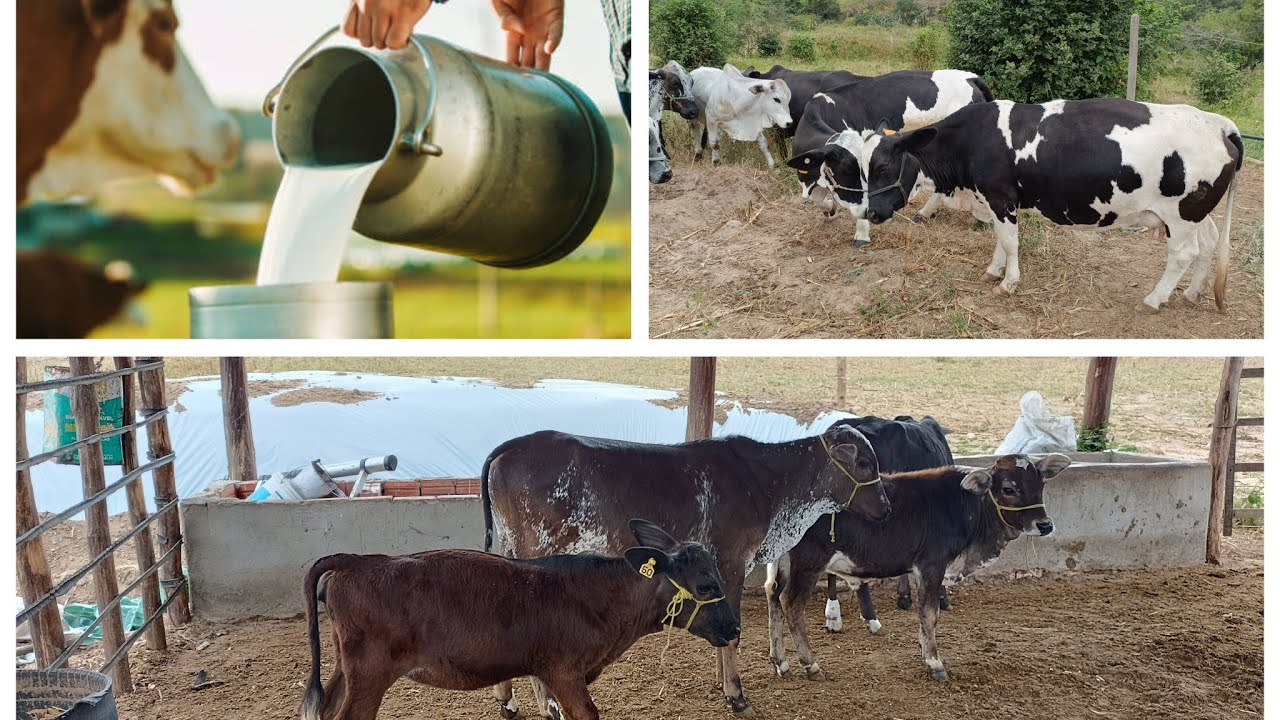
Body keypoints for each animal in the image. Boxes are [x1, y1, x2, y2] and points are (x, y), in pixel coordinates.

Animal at [300, 520, 741, 720]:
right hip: (370, 671)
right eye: (705, 585)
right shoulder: (563, 670)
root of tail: (358, 561)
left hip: (346, 666)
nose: (734, 627)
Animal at [482, 425, 890, 716]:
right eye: (865, 464)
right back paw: (548, 707)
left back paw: (509, 702)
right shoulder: (731, 561)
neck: (770, 486)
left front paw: (723, 683)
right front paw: (737, 696)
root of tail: (509, 448)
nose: (887, 509)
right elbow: (736, 633)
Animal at [766, 453, 1069, 682]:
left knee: (773, 595)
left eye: (1040, 485)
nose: (1045, 525)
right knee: (790, 603)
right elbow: (929, 614)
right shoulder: (932, 566)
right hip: (808, 562)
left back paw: (780, 662)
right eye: (1009, 489)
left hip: (782, 561)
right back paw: (811, 664)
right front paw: (934, 663)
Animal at [785, 70, 993, 247]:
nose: (869, 212)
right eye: (847, 167)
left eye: (867, 170)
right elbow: (817, 200)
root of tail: (971, 77)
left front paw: (861, 234)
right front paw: (830, 208)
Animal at [860, 99, 1244, 312]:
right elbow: (999, 240)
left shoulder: (1001, 198)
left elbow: (1010, 242)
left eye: (882, 168)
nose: (870, 213)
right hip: (1196, 213)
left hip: (1181, 214)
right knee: (1209, 244)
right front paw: (993, 270)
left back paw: (1154, 299)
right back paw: (1192, 293)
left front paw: (1009, 282)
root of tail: (1216, 123)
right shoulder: (993, 200)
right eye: (863, 168)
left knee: (1183, 254)